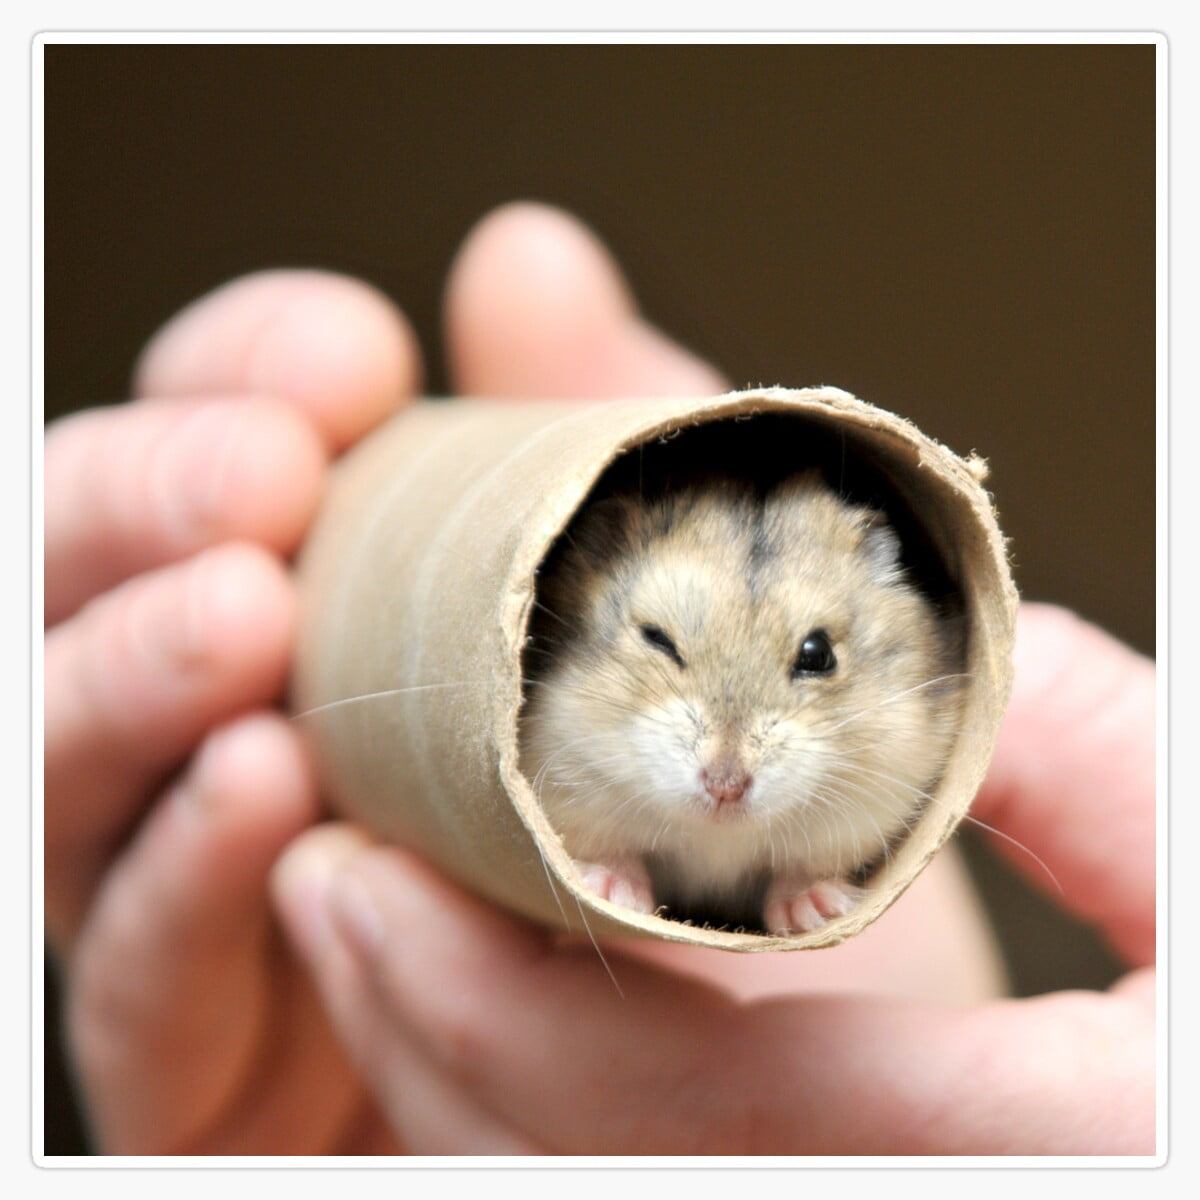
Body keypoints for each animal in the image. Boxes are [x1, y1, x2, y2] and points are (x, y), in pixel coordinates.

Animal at [518, 471, 965, 935]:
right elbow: (614, 852)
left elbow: (800, 870)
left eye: (818, 654)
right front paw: (612, 892)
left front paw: (819, 911)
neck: (718, 835)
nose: (725, 789)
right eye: (656, 638)